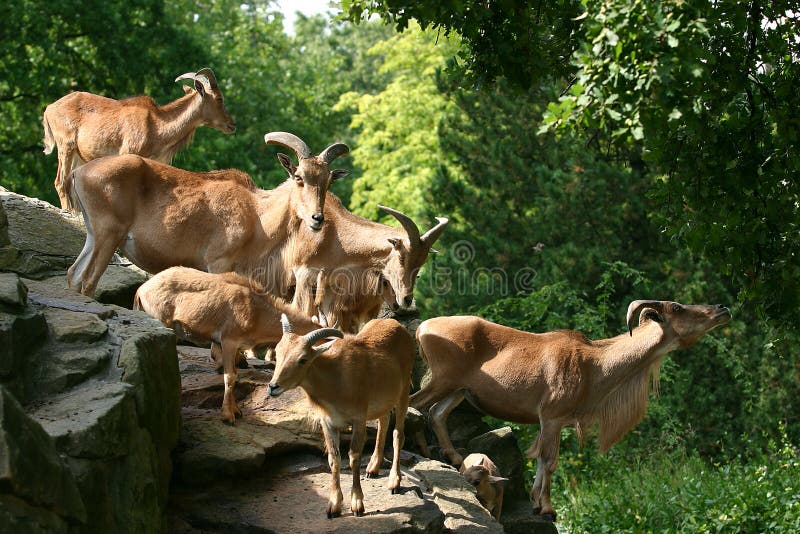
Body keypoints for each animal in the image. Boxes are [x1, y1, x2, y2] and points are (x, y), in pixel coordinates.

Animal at [43, 68, 235, 211]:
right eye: (219, 98)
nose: (232, 124)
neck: (158, 125)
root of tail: (49, 109)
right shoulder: (128, 152)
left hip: (78, 155)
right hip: (66, 146)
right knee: (60, 182)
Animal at [66, 132, 349, 297]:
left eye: (327, 182)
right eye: (299, 177)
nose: (317, 219)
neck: (257, 215)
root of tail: (79, 173)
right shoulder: (218, 263)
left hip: (93, 234)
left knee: (74, 274)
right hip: (108, 234)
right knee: (88, 280)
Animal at [133, 266, 325, 424]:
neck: (256, 311)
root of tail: (141, 290)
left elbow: (234, 373)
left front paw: (237, 411)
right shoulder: (228, 341)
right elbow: (230, 376)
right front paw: (228, 415)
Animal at [268, 315, 414, 518]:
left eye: (303, 359)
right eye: (277, 352)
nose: (273, 387)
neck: (335, 379)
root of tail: (398, 325)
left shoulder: (358, 419)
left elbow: (354, 457)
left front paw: (357, 504)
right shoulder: (328, 423)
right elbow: (334, 459)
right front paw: (334, 506)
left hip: (404, 391)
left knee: (398, 434)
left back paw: (394, 481)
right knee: (383, 421)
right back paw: (373, 468)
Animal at [410, 300, 731, 521]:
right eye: (677, 306)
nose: (722, 308)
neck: (596, 365)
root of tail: (423, 328)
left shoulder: (556, 422)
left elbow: (543, 462)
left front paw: (536, 502)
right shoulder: (551, 417)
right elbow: (549, 462)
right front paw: (547, 508)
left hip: (458, 390)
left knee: (437, 413)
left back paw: (454, 458)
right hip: (443, 380)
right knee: (414, 406)